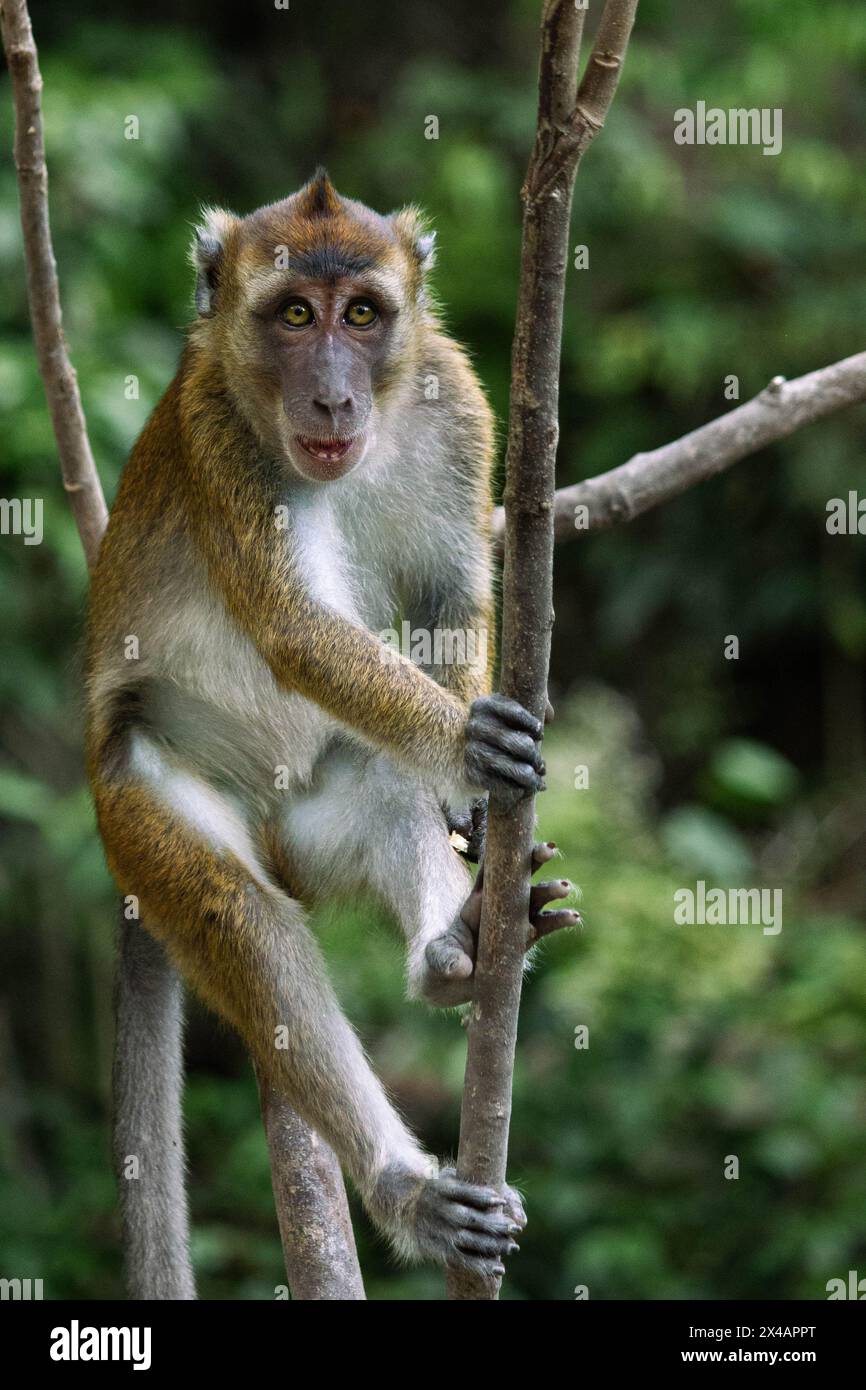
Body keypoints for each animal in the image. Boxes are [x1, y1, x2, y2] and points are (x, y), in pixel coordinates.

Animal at [86, 170, 578, 1298]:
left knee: (382, 789)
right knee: (245, 916)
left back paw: (456, 950)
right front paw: (464, 746)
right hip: (135, 797)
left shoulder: (455, 402)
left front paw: (471, 790)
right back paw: (409, 1191)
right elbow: (293, 631)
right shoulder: (216, 433)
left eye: (361, 314)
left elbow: (447, 599)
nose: (333, 398)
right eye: (293, 316)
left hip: (310, 829)